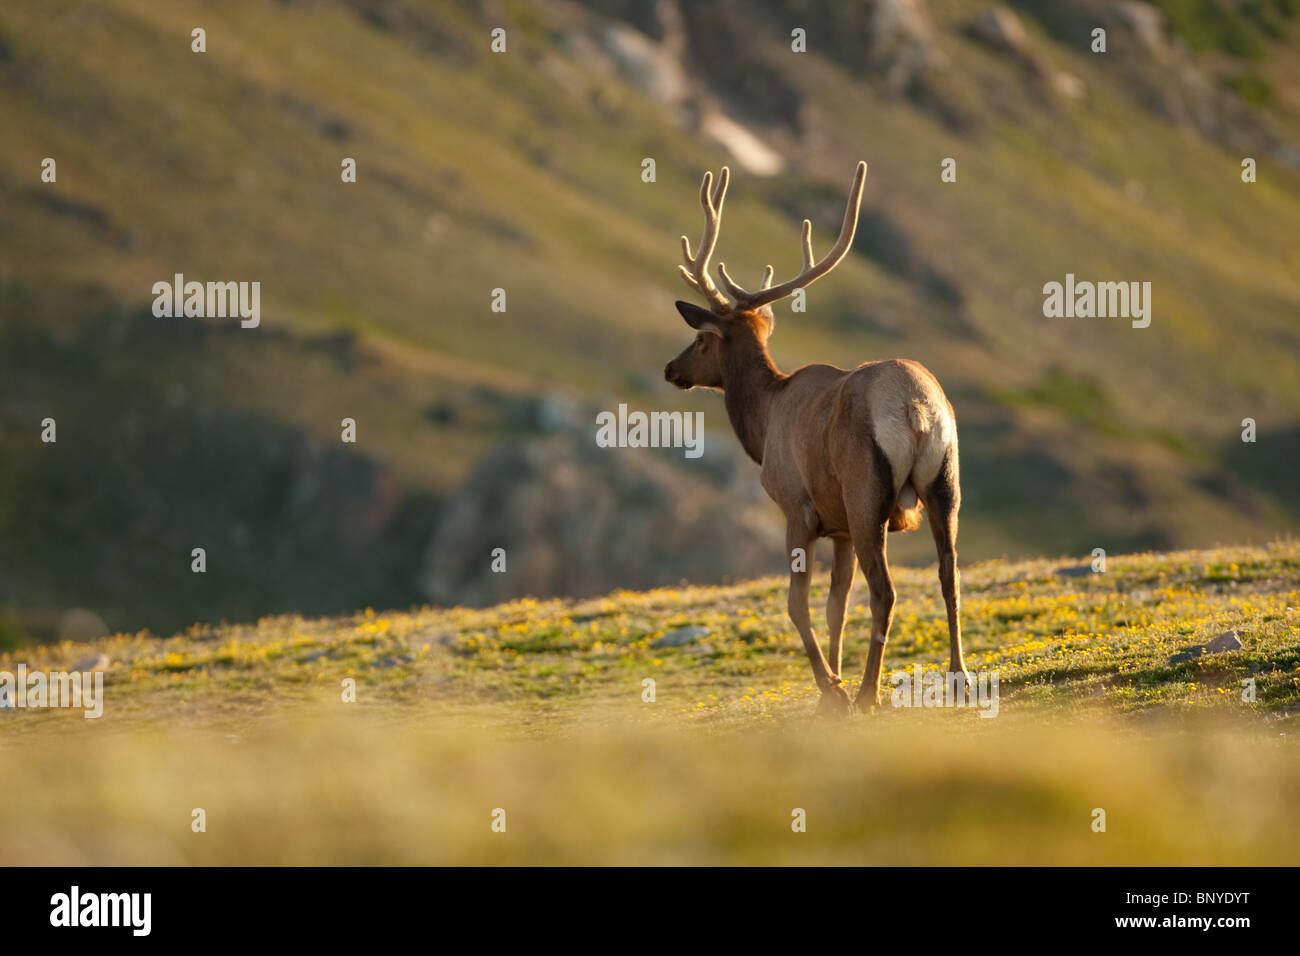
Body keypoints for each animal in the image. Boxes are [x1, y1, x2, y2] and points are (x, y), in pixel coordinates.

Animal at [663, 162, 968, 716]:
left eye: (700, 339)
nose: (671, 369)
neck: (763, 423)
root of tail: (914, 408)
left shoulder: (798, 507)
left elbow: (797, 604)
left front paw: (833, 687)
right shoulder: (840, 526)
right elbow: (835, 605)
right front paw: (834, 682)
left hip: (867, 493)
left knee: (886, 591)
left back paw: (869, 692)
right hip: (944, 482)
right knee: (949, 574)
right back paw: (959, 677)